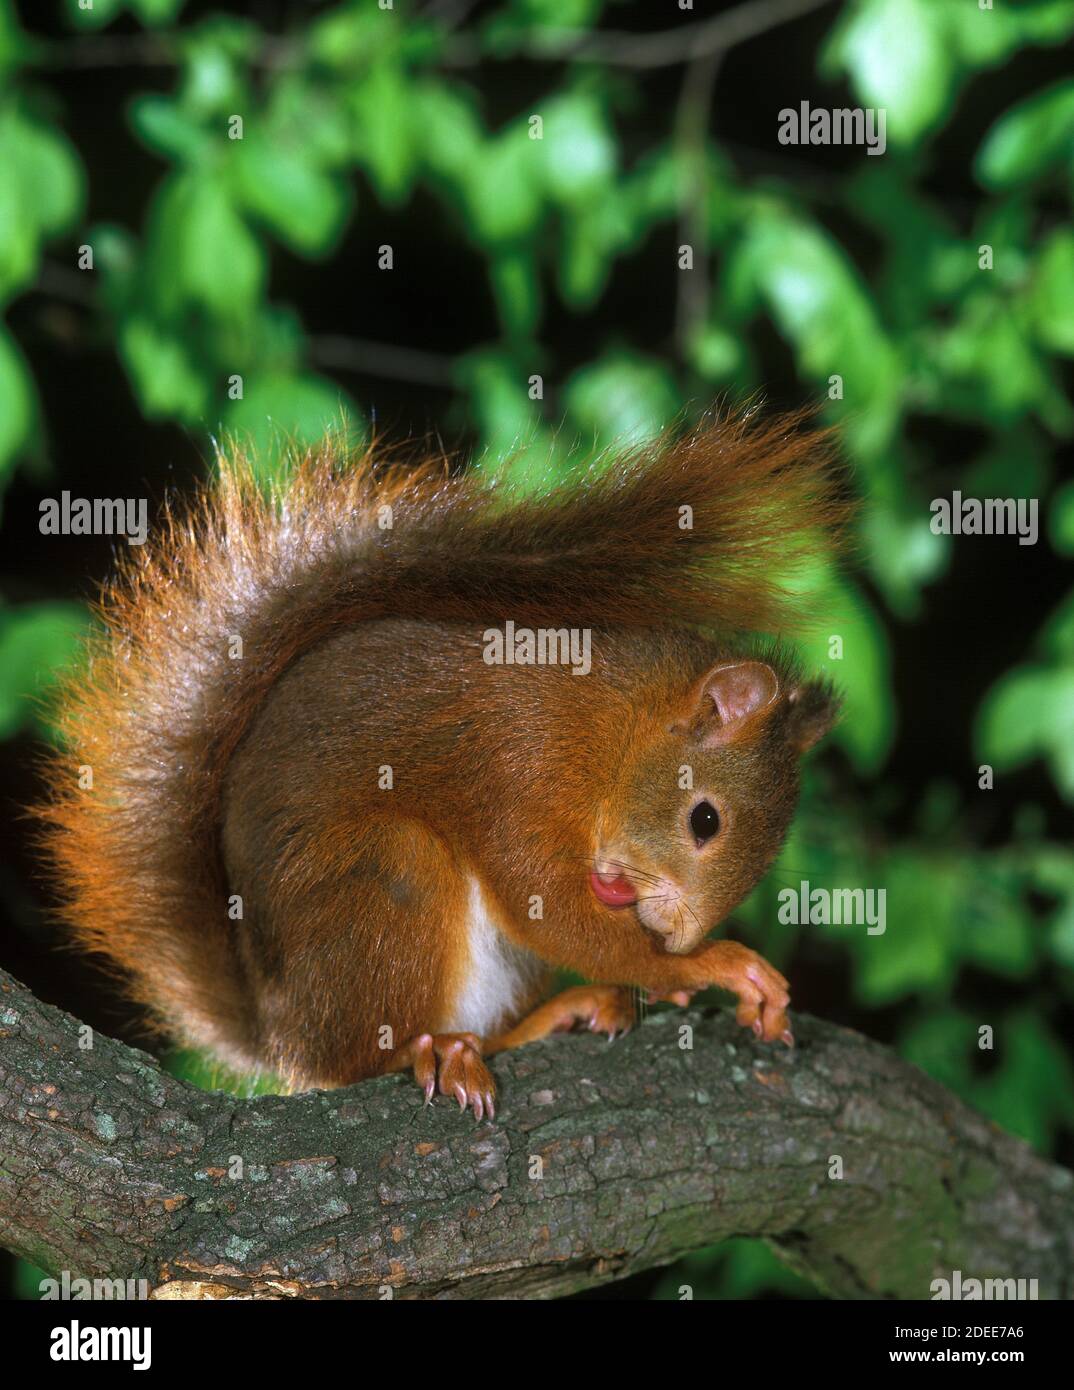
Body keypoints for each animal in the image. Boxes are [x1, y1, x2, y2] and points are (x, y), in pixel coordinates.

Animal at [35, 411, 846, 1119]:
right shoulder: (520, 756)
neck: (619, 729)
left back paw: (555, 1014)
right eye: (704, 819)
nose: (676, 933)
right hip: (388, 877)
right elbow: (546, 903)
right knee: (358, 1060)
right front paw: (705, 966)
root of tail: (281, 1032)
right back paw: (433, 1053)